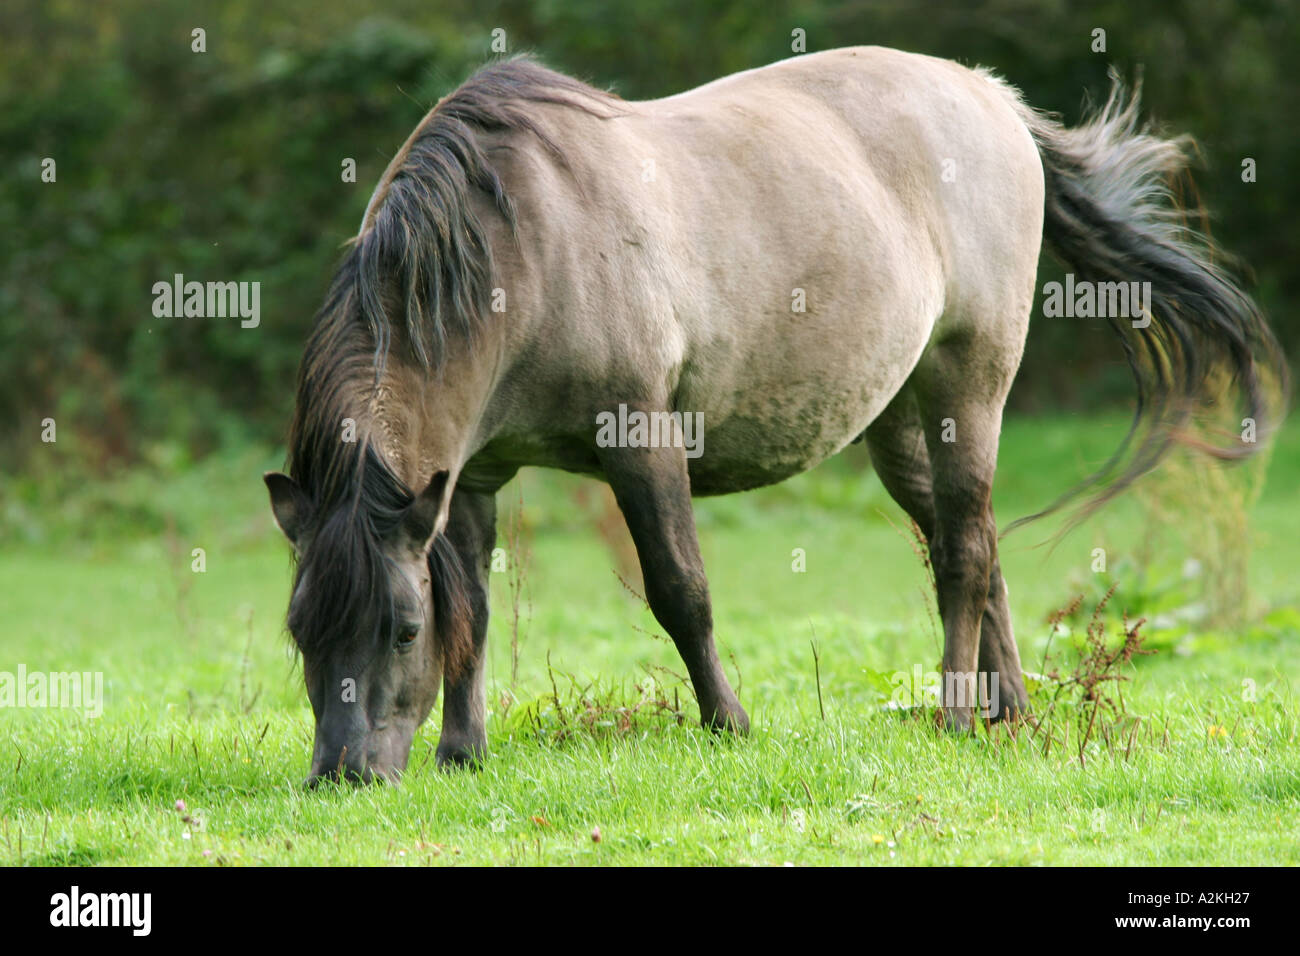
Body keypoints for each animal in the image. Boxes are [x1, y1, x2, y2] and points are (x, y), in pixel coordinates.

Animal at [264, 47, 1283, 784]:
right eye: (301, 630)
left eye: (399, 631)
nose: (344, 773)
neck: (521, 245)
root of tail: (988, 96)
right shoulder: (470, 476)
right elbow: (472, 606)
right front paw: (462, 752)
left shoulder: (642, 442)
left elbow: (681, 591)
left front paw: (729, 722)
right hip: (898, 424)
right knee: (973, 540)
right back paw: (1012, 710)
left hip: (970, 384)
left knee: (962, 550)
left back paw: (957, 714)